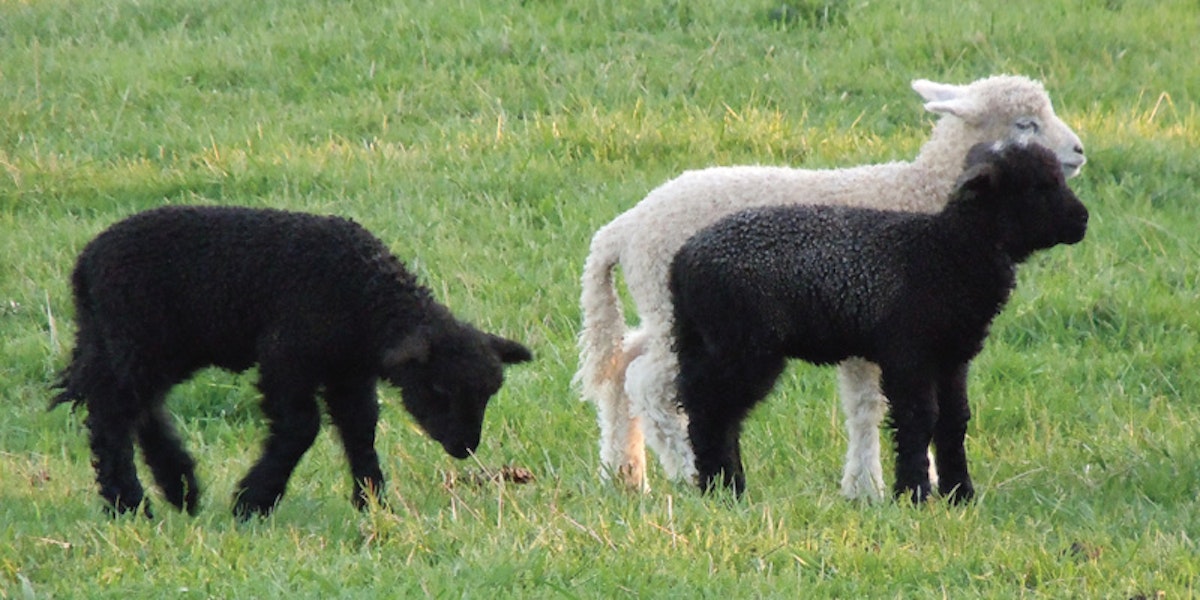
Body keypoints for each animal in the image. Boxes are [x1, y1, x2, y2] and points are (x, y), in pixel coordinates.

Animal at [52, 205, 532, 519]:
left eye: (489, 393)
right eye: (439, 389)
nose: (464, 446)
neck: (367, 294)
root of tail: (84, 266)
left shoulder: (347, 372)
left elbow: (360, 429)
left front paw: (373, 501)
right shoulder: (287, 356)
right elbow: (303, 427)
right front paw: (252, 501)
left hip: (150, 348)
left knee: (141, 408)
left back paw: (179, 489)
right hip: (136, 339)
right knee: (112, 416)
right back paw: (129, 503)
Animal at [668, 141, 1089, 501]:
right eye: (1037, 186)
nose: (1083, 220)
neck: (948, 250)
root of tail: (683, 261)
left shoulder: (952, 356)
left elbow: (955, 421)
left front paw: (960, 495)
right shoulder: (908, 352)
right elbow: (919, 418)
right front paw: (914, 493)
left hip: (703, 341)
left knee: (703, 403)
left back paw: (723, 484)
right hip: (743, 344)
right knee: (712, 409)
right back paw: (723, 488)